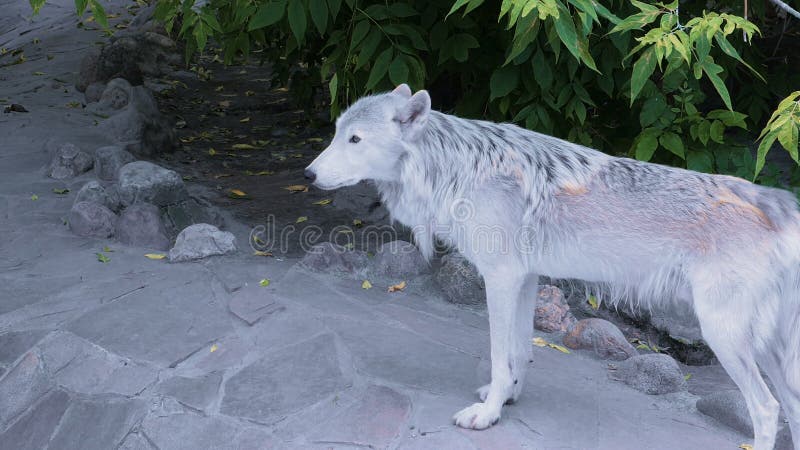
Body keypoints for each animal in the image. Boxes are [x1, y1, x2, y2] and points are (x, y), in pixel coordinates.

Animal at [304, 84, 800, 449]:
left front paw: (487, 416)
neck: (453, 170)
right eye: (336, 133)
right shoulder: (525, 280)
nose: (308, 174)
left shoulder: (500, 279)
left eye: (355, 140)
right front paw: (508, 399)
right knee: (789, 410)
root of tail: (776, 204)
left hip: (724, 336)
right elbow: (519, 351)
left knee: (766, 410)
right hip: (767, 350)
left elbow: (499, 355)